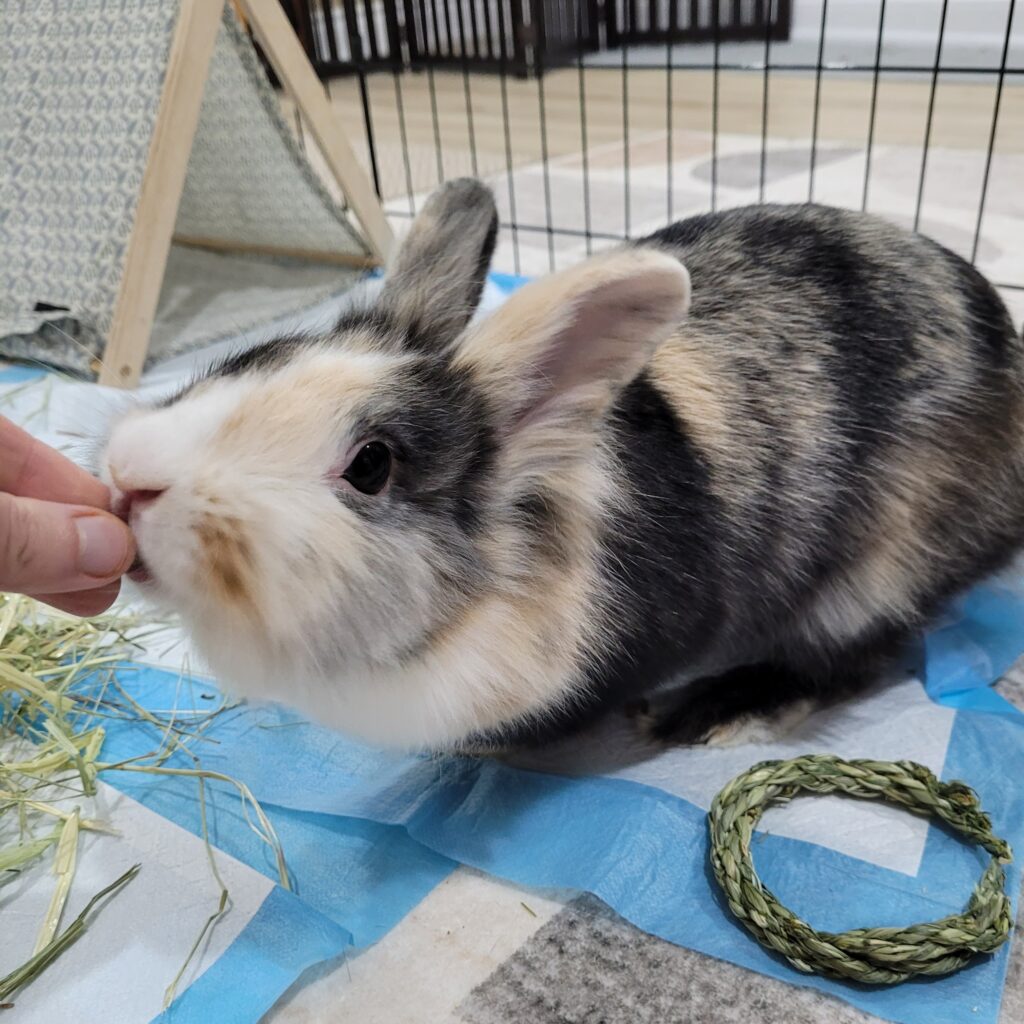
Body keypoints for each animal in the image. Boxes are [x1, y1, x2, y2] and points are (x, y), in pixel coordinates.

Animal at [102, 178, 1024, 755]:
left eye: (370, 465)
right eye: (247, 360)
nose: (131, 476)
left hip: (877, 569)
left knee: (862, 654)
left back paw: (712, 714)